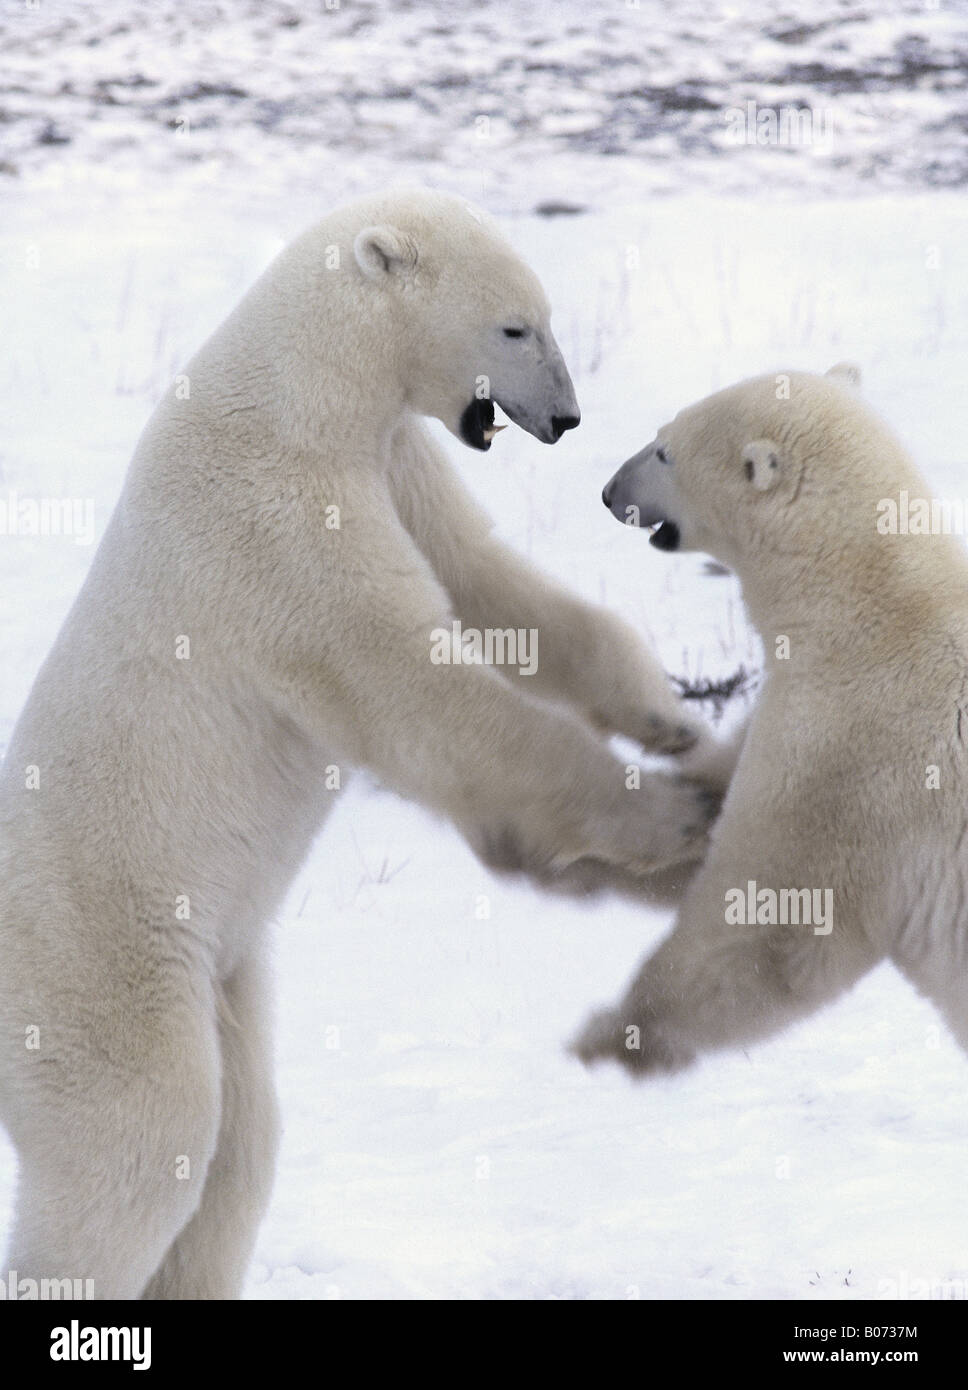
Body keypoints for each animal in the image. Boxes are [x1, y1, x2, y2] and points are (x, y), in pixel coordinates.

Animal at [0, 189, 716, 1300]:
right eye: (515, 327)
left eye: (542, 319)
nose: (565, 422)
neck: (294, 394)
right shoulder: (276, 521)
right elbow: (411, 685)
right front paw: (670, 810)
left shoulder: (394, 460)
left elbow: (494, 589)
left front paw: (667, 716)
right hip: (99, 956)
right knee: (142, 1138)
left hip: (224, 970)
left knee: (239, 1147)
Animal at [574, 362, 968, 1077]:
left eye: (665, 449)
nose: (609, 491)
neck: (874, 613)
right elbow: (713, 798)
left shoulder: (857, 757)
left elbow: (772, 922)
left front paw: (611, 1035)